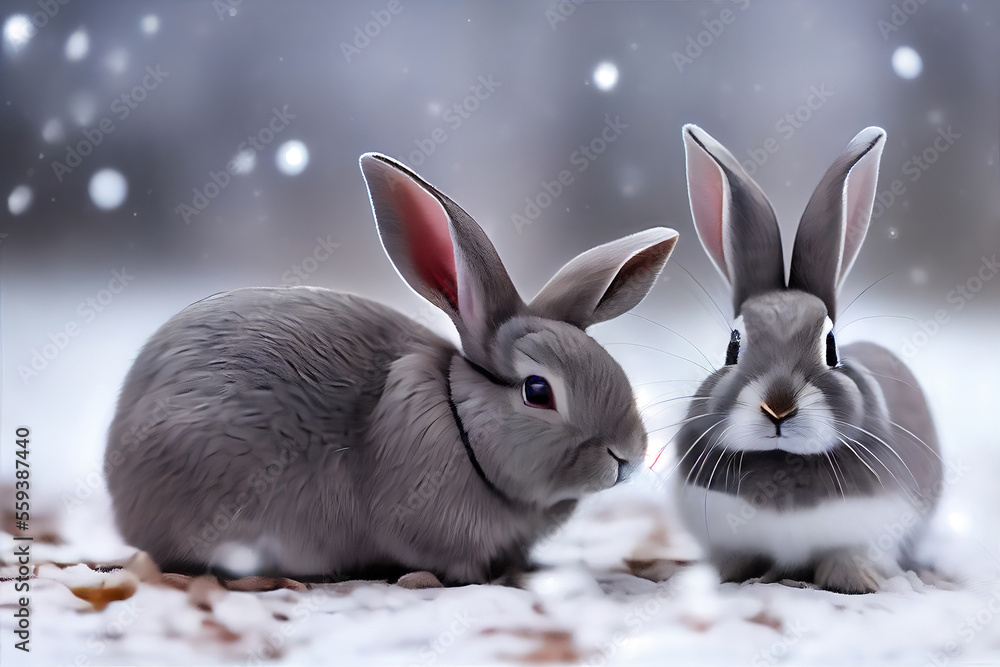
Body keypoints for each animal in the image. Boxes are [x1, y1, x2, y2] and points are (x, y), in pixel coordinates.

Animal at [672, 124, 942, 594]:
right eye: (733, 346)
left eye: (831, 346)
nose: (778, 408)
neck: (782, 460)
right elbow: (734, 561)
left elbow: (846, 558)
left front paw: (860, 580)